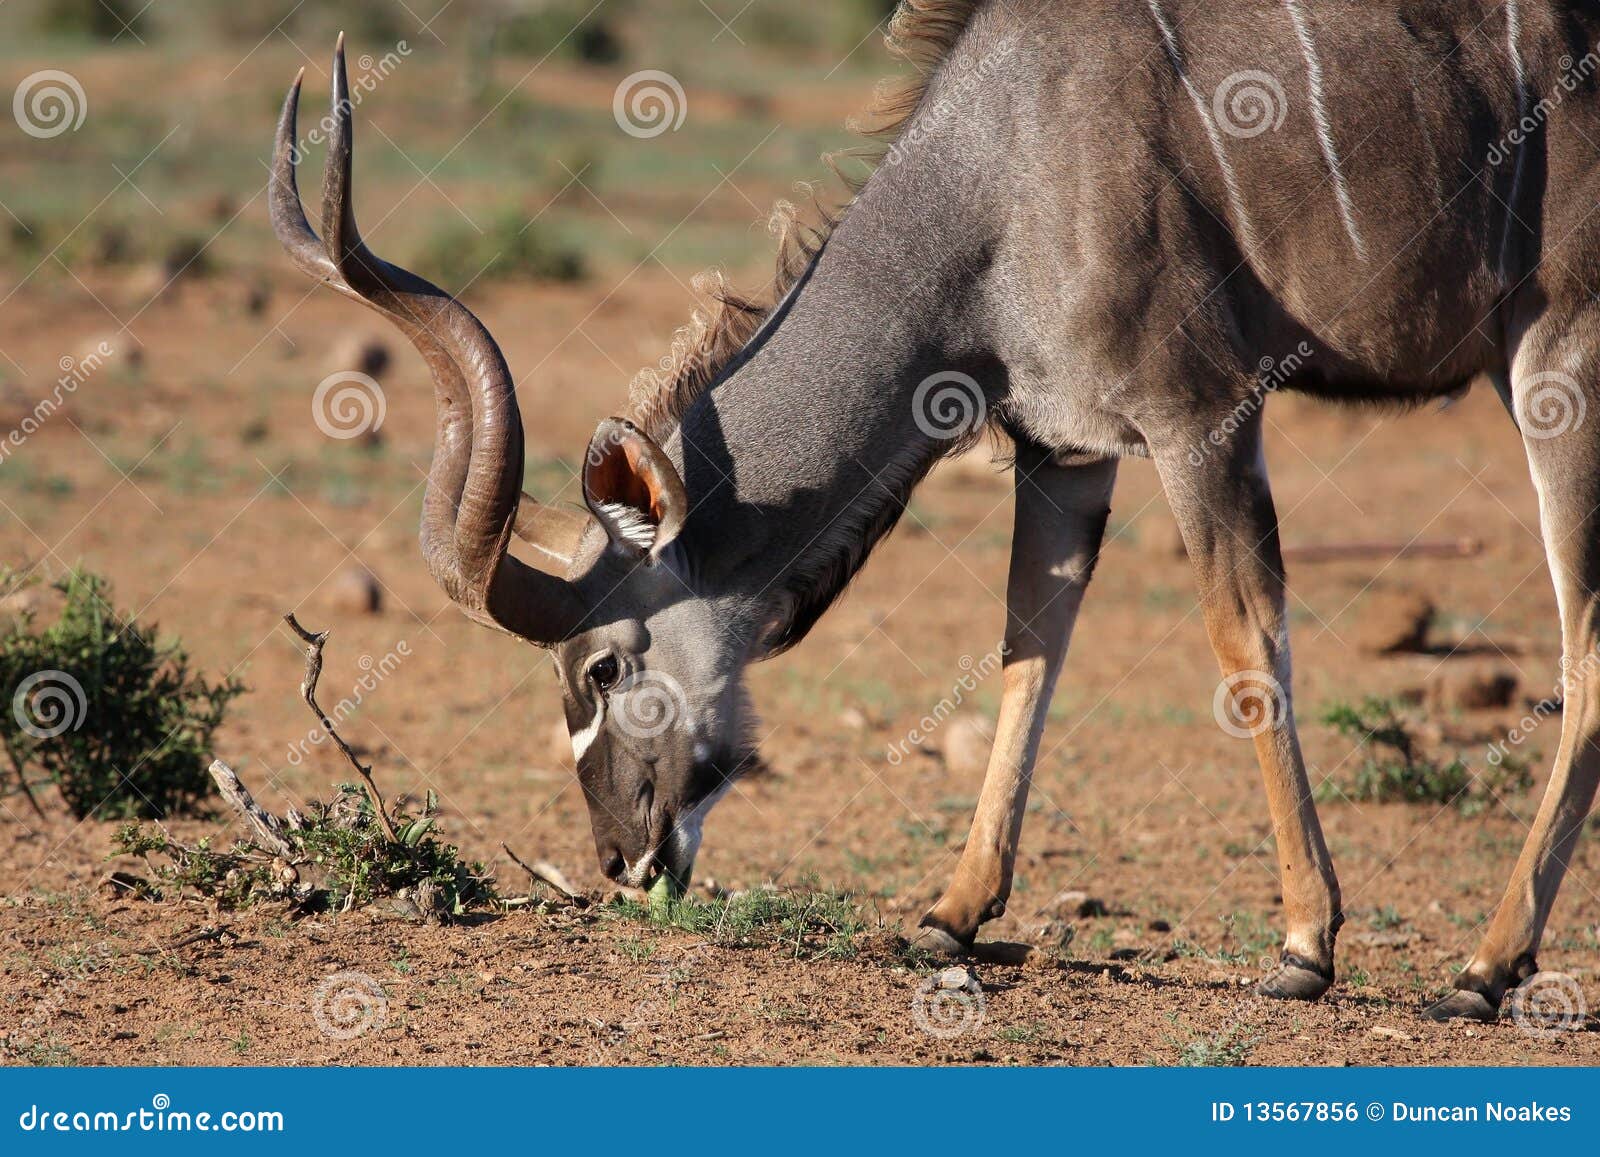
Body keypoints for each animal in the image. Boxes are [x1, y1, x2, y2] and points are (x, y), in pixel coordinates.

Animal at [273, 0, 1600, 1023]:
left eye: (601, 666)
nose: (621, 857)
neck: (998, 173)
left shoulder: (1202, 418)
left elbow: (1245, 644)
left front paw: (1303, 944)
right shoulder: (1065, 449)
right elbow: (1027, 645)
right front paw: (950, 915)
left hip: (1554, 363)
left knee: (1584, 639)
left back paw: (1484, 968)